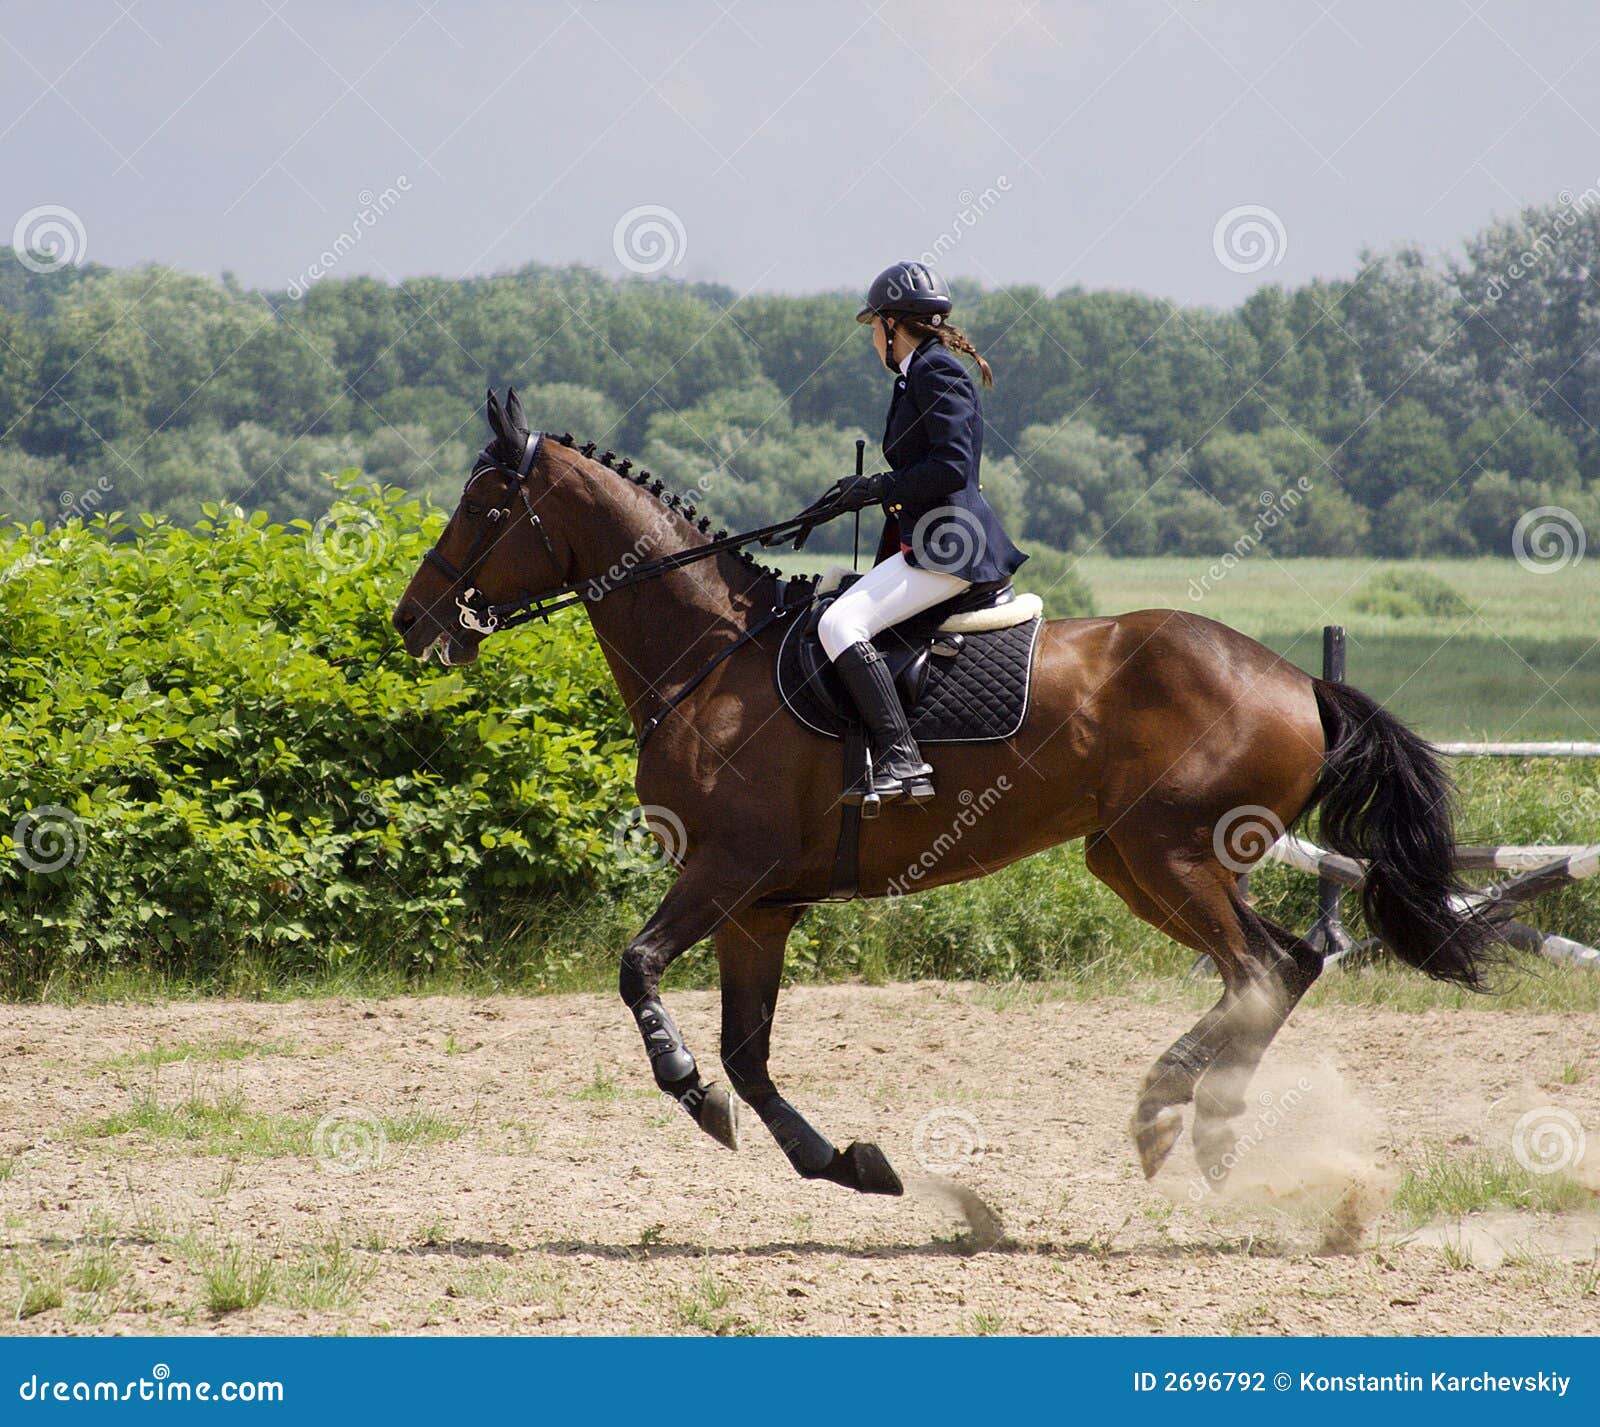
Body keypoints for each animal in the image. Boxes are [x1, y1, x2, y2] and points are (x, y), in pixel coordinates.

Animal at [392, 389, 1502, 1199]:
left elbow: (638, 971)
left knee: (1264, 969)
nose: (414, 621)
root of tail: (1297, 680)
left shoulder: (727, 869)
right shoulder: (760, 906)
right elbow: (748, 1052)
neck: (709, 658)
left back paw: (1173, 1109)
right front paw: (844, 1161)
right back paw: (1197, 1120)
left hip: (1170, 852)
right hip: (1135, 858)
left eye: (486, 508)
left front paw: (686, 1087)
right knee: (1284, 965)